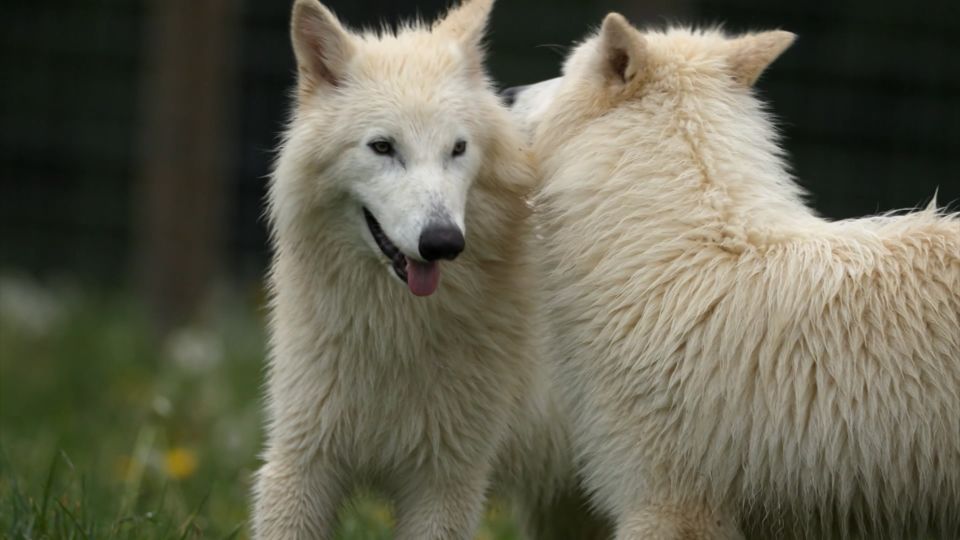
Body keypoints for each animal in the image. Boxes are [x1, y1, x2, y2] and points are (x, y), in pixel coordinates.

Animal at [251, 1, 545, 538]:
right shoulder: (301, 460)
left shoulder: (446, 483)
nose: (443, 242)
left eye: (458, 149)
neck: (393, 331)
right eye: (383, 147)